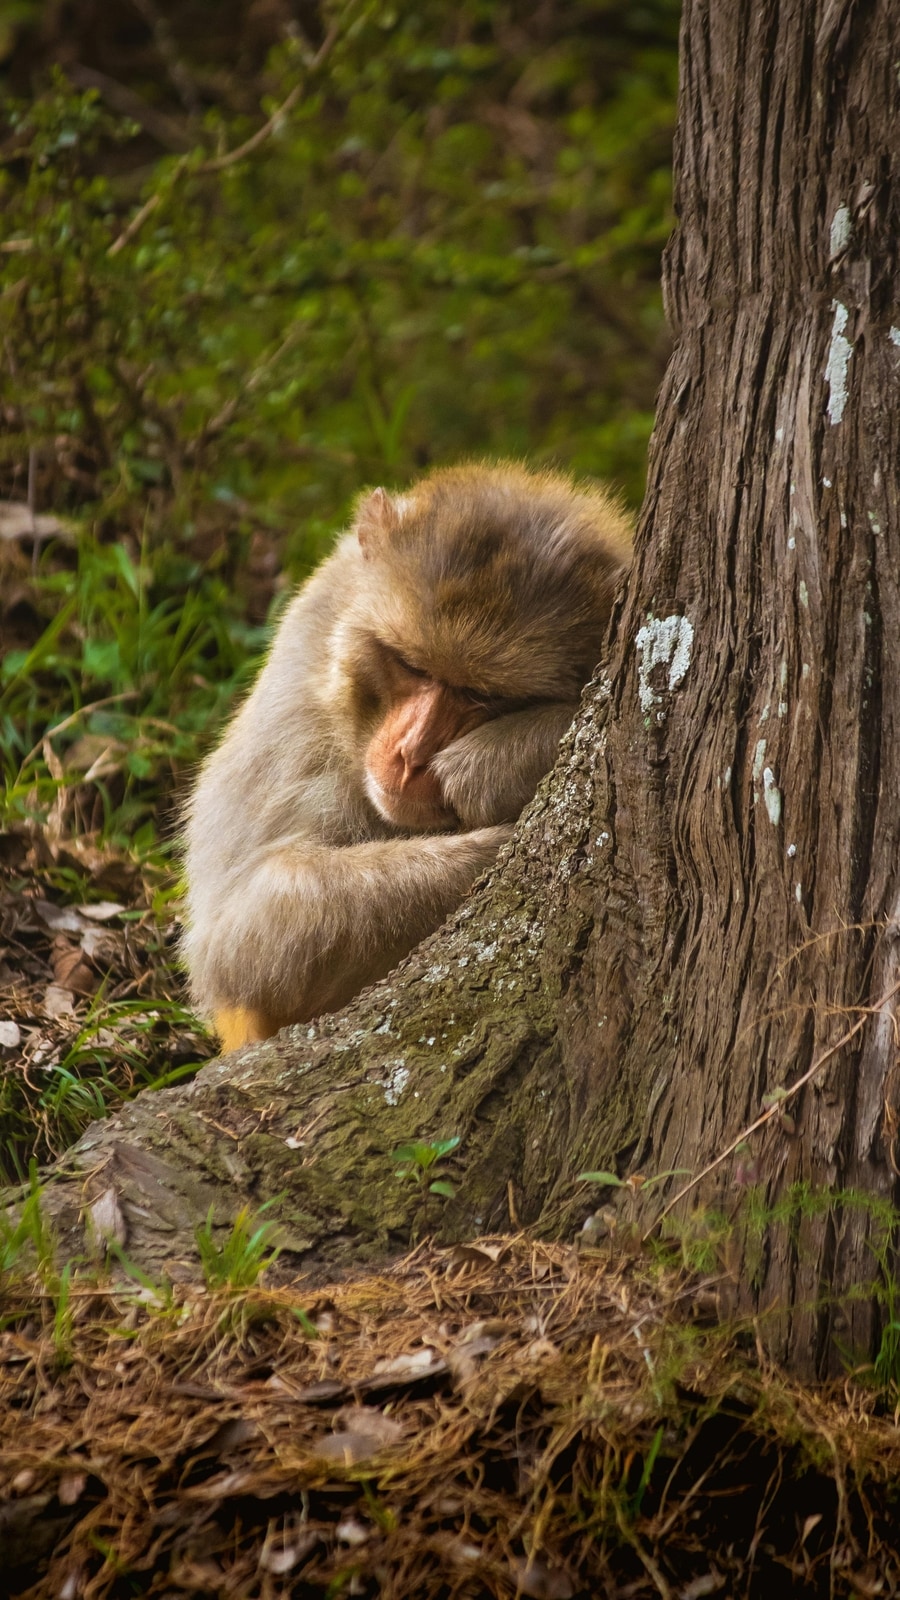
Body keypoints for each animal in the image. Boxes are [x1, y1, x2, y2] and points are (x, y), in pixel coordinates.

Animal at [182, 463, 632, 1051]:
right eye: (412, 666)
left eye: (481, 695)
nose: (411, 753)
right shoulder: (292, 709)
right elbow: (233, 937)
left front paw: (496, 761)